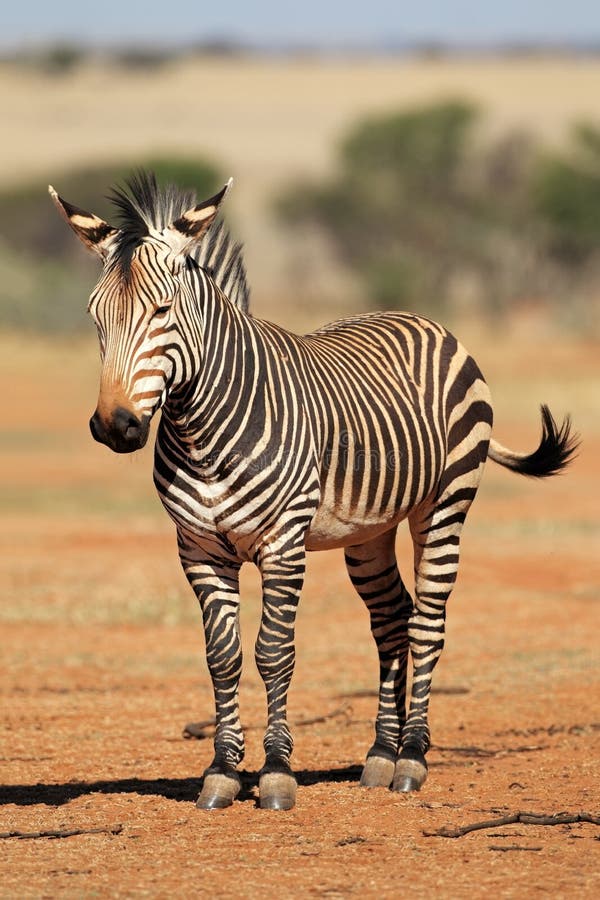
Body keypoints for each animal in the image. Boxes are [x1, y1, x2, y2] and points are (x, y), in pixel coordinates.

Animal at [49, 172, 577, 811]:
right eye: (94, 317)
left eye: (162, 310)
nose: (115, 426)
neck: (203, 430)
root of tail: (422, 319)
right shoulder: (197, 549)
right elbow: (222, 657)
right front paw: (222, 772)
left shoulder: (283, 543)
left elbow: (274, 652)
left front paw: (276, 773)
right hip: (368, 532)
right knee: (392, 620)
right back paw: (381, 756)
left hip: (444, 505)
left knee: (427, 622)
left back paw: (412, 760)